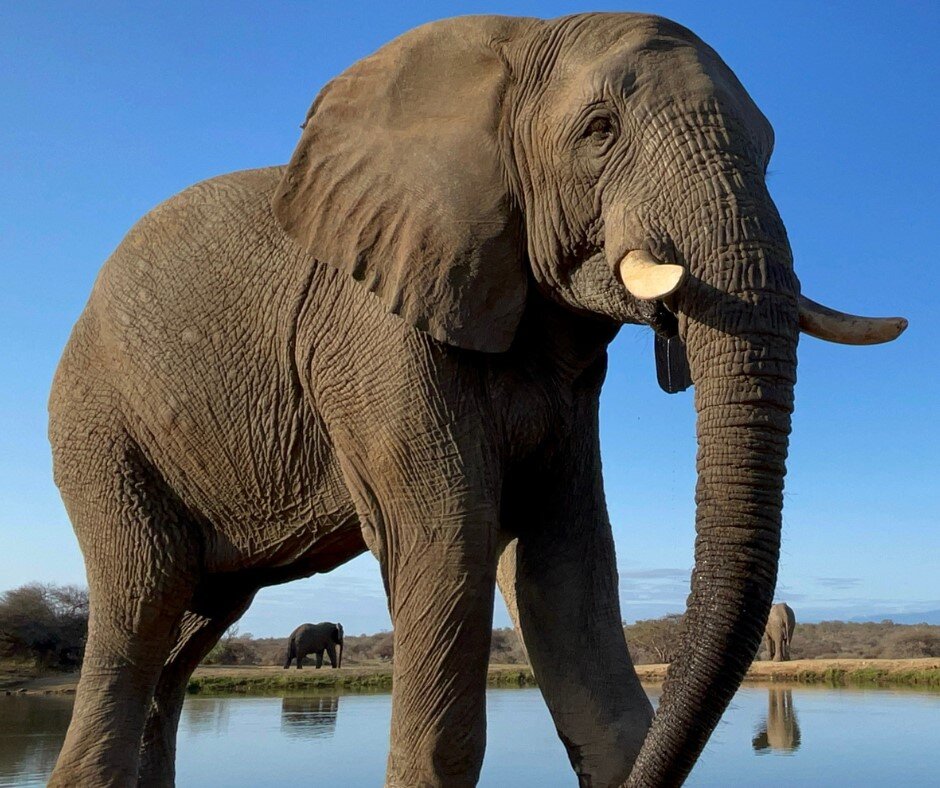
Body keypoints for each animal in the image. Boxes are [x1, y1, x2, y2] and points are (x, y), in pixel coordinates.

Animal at [46, 13, 906, 788]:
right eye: (600, 130)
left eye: (769, 152)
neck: (511, 49)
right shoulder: (376, 328)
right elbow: (449, 536)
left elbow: (563, 565)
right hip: (98, 427)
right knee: (143, 599)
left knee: (191, 622)